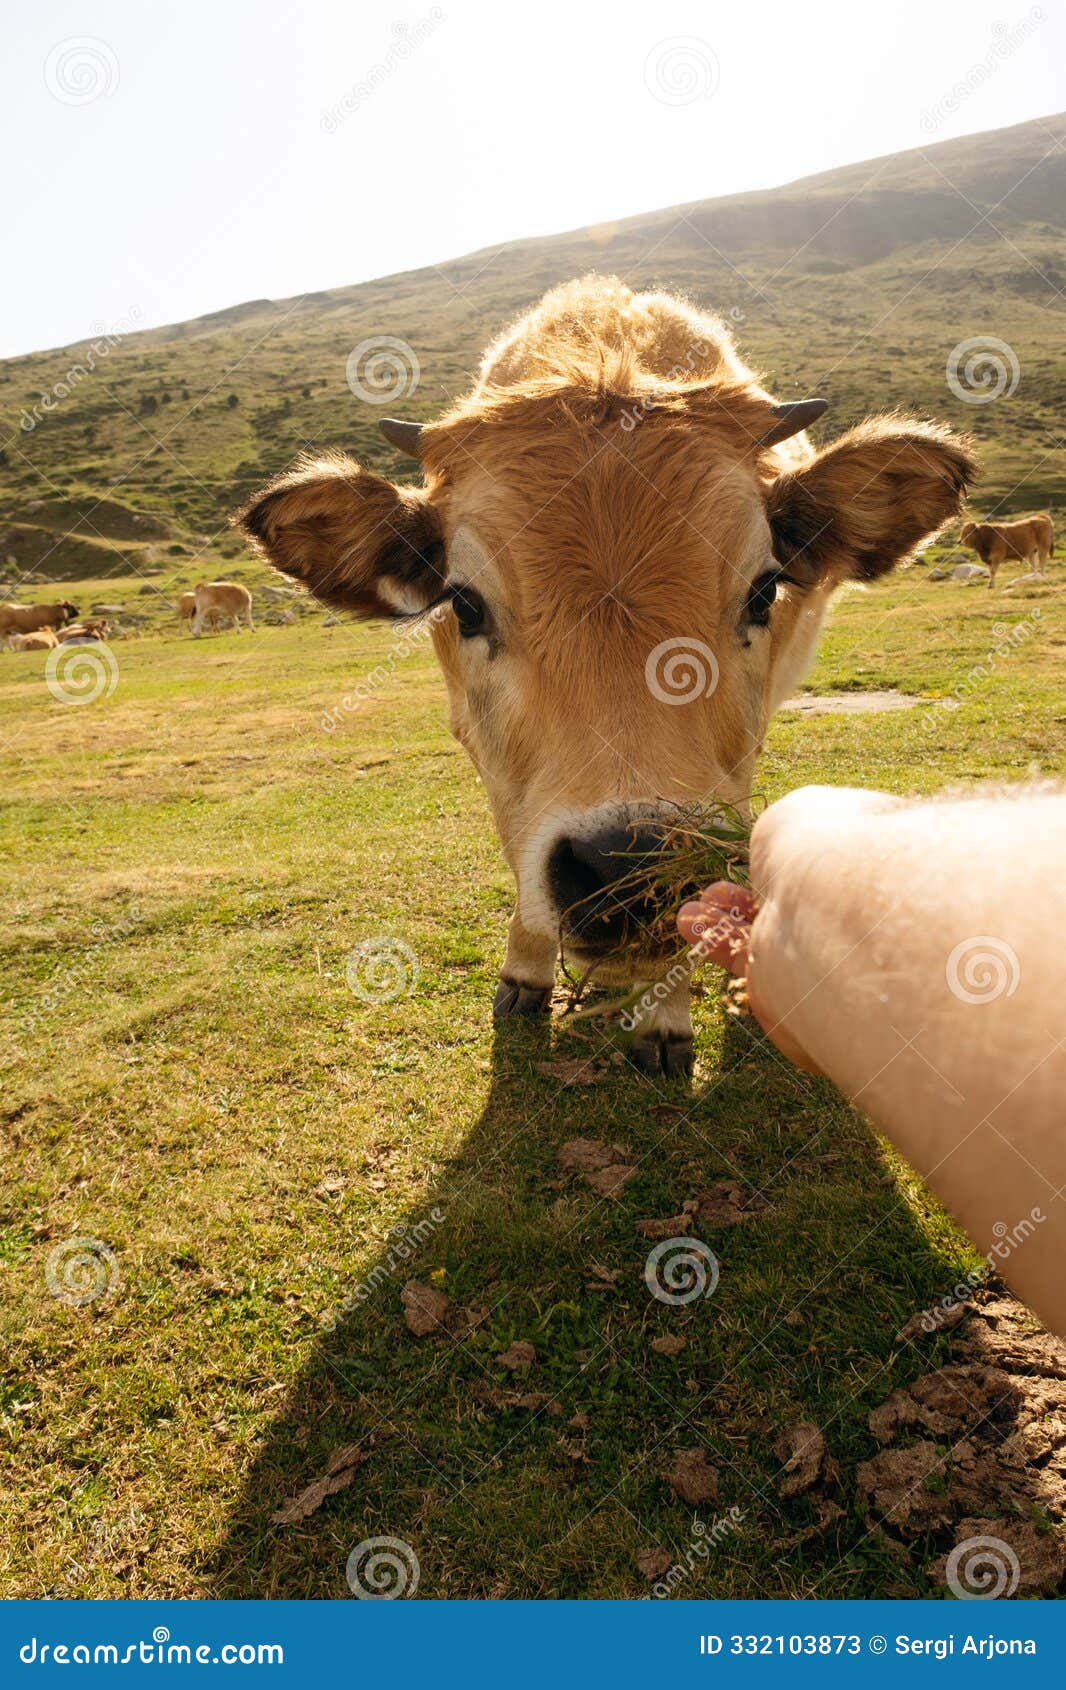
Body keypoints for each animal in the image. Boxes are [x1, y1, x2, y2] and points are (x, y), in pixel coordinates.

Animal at [237, 276, 974, 1074]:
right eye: (464, 603)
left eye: (764, 591)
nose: (630, 867)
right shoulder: (488, 752)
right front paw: (526, 972)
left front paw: (663, 1015)